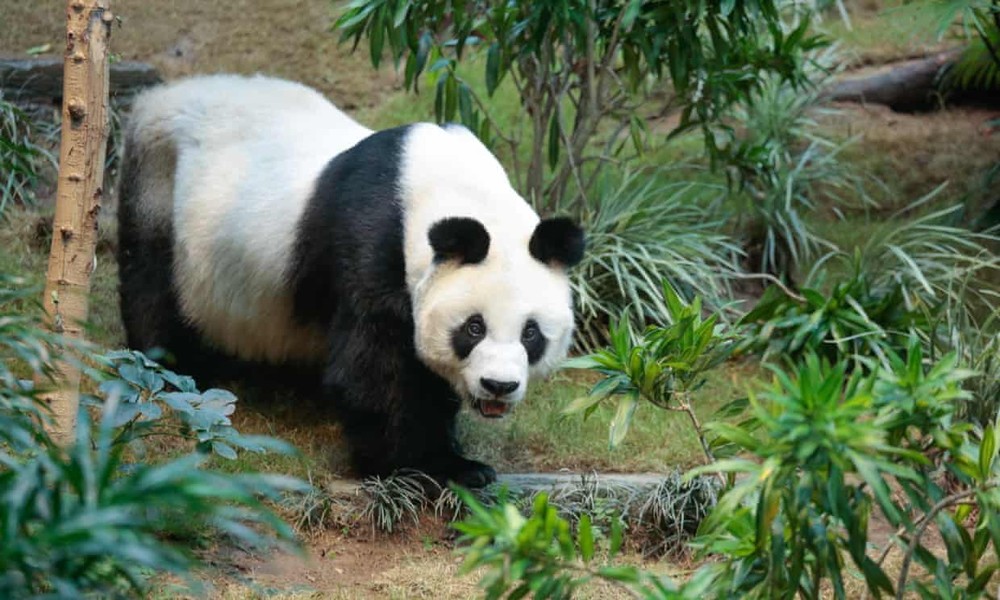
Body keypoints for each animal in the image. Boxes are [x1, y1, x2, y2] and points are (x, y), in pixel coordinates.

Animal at [115, 74, 584, 487]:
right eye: (473, 327)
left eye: (531, 334)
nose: (498, 386)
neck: (452, 186)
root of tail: (157, 96)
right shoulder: (373, 239)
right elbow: (374, 365)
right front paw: (426, 465)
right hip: (159, 184)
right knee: (153, 284)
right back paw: (175, 369)